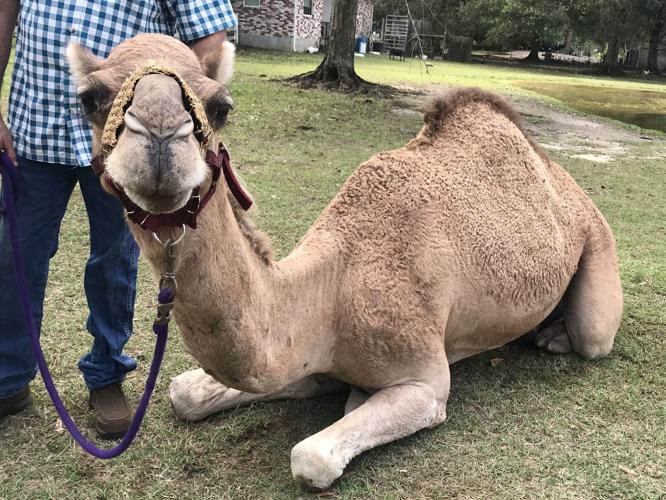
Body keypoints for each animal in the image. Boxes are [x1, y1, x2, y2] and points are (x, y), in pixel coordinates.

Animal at [67, 34, 623, 491]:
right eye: (89, 98)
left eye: (220, 106)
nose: (160, 135)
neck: (331, 289)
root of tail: (566, 180)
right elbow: (184, 393)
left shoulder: (426, 382)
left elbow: (310, 457)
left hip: (598, 242)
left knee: (594, 336)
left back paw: (555, 337)